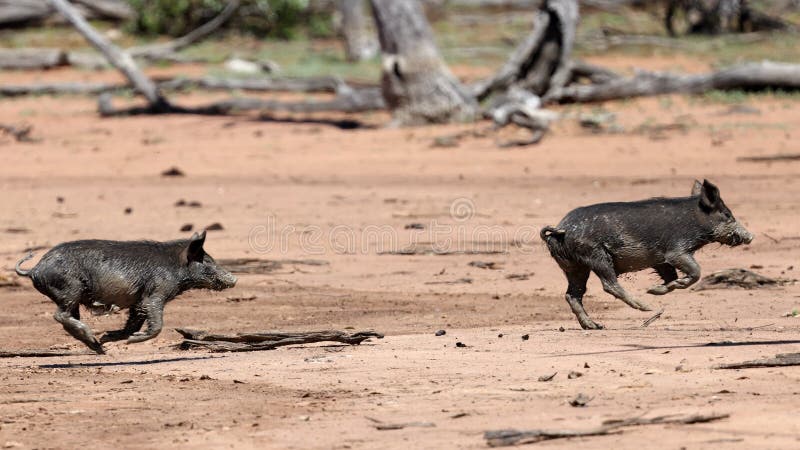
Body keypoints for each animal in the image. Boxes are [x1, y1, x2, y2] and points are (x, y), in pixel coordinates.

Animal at [14, 231, 236, 354]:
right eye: (207, 261)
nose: (234, 279)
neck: (177, 267)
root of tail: (35, 269)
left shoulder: (138, 301)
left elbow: (133, 322)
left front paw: (108, 337)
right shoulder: (157, 290)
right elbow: (156, 322)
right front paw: (132, 340)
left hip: (69, 295)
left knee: (67, 317)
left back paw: (99, 347)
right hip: (70, 288)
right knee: (59, 315)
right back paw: (96, 344)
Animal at [540, 180, 753, 330]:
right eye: (727, 215)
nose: (750, 236)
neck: (696, 220)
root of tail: (561, 230)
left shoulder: (660, 260)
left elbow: (670, 276)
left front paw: (655, 289)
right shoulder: (676, 251)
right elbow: (695, 271)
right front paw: (654, 292)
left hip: (574, 266)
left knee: (572, 294)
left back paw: (595, 326)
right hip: (595, 256)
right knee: (609, 284)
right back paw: (646, 306)